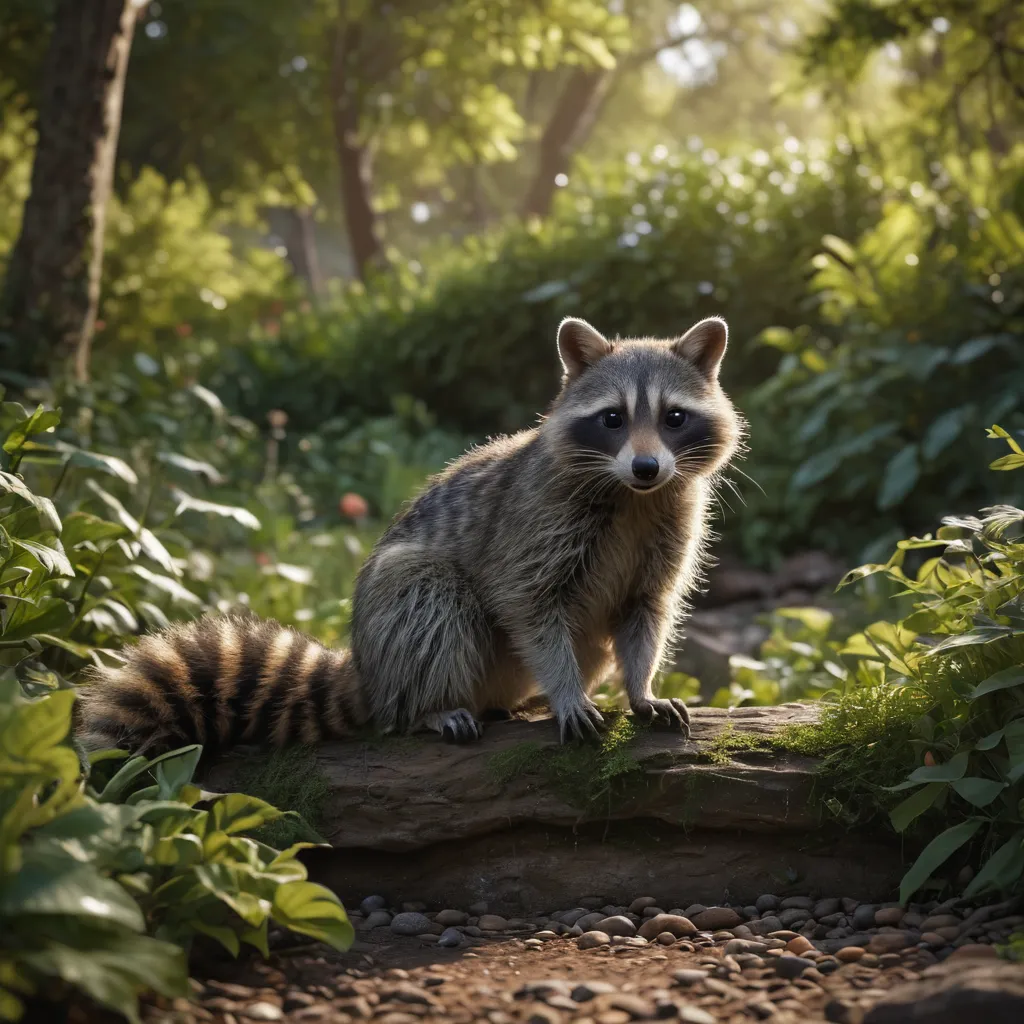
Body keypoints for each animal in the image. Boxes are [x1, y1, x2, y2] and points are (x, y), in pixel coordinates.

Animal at [78, 315, 743, 754]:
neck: (632, 498)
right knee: (429, 596)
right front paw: (565, 690)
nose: (647, 467)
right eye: (613, 419)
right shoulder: (536, 522)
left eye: (673, 418)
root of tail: (368, 674)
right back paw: (431, 707)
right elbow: (528, 604)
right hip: (401, 612)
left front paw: (640, 686)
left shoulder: (667, 526)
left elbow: (644, 611)